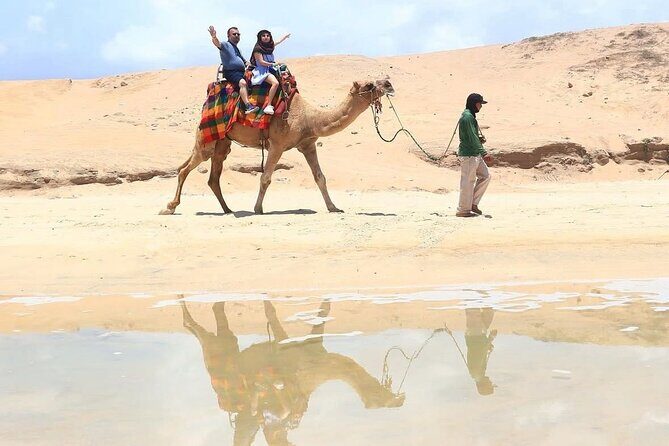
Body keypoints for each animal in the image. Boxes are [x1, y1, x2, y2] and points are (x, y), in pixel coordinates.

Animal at [160, 78, 395, 215]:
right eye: (369, 85)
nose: (389, 84)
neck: (309, 118)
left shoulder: (308, 144)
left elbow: (320, 177)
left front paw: (333, 207)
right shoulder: (277, 144)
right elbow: (265, 178)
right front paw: (258, 208)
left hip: (222, 142)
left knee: (212, 177)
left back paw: (227, 209)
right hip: (206, 139)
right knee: (184, 169)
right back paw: (170, 207)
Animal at [181, 300, 404, 445]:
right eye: (378, 401)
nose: (399, 400)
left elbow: (324, 310)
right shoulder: (285, 349)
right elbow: (271, 312)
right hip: (219, 360)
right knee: (203, 333)